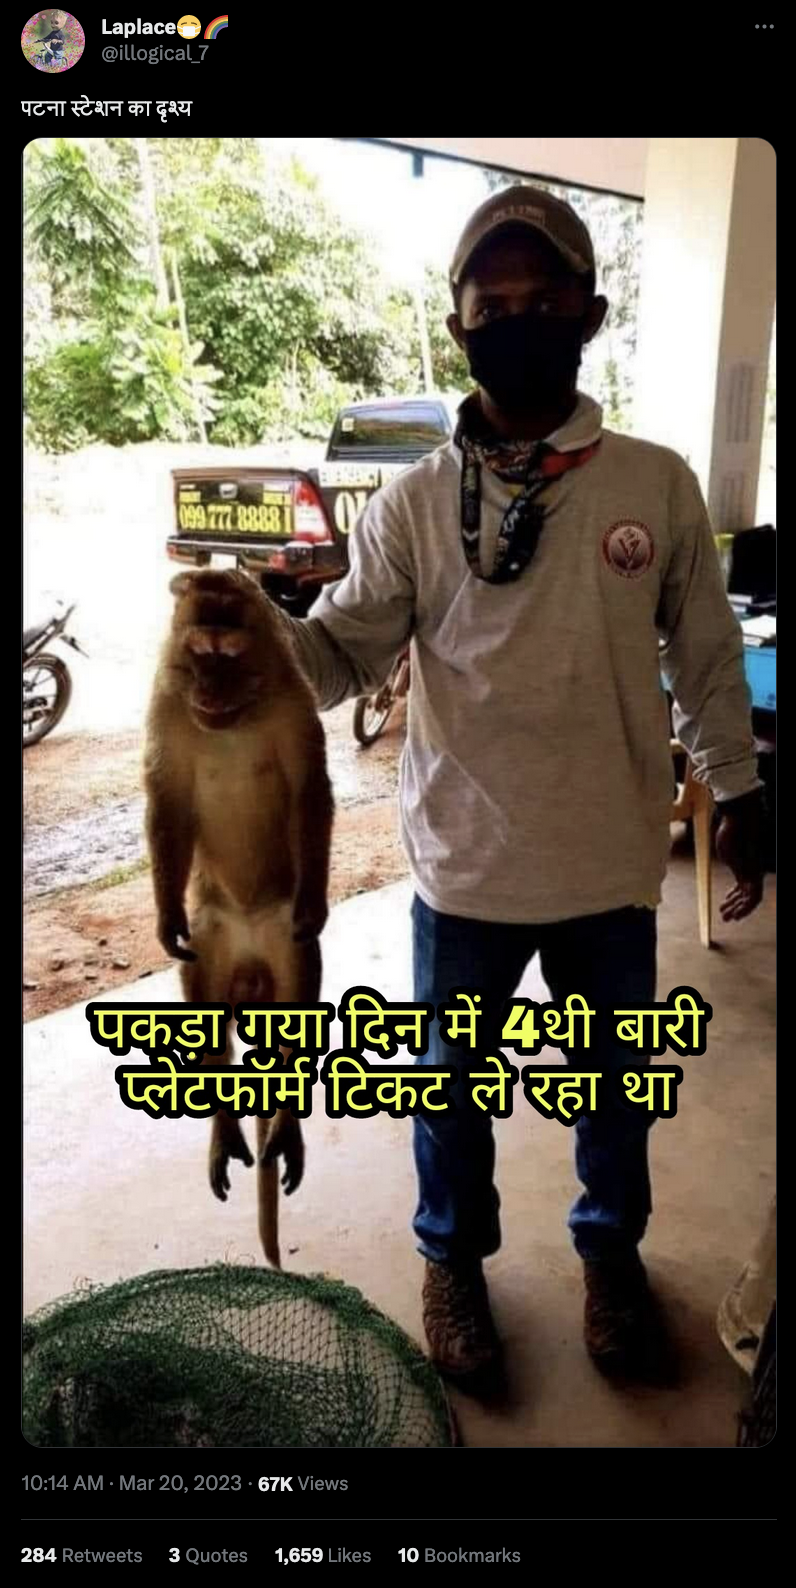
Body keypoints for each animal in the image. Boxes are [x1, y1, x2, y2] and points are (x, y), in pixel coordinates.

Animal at [143, 568, 334, 1267]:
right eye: (198, 650)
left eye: (228, 654)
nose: (208, 687)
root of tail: (251, 968)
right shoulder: (166, 702)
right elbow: (167, 797)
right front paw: (164, 916)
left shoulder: (293, 700)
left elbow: (309, 789)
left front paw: (317, 903)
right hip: (216, 937)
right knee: (202, 993)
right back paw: (224, 1131)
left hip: (280, 940)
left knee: (300, 987)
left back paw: (286, 1128)